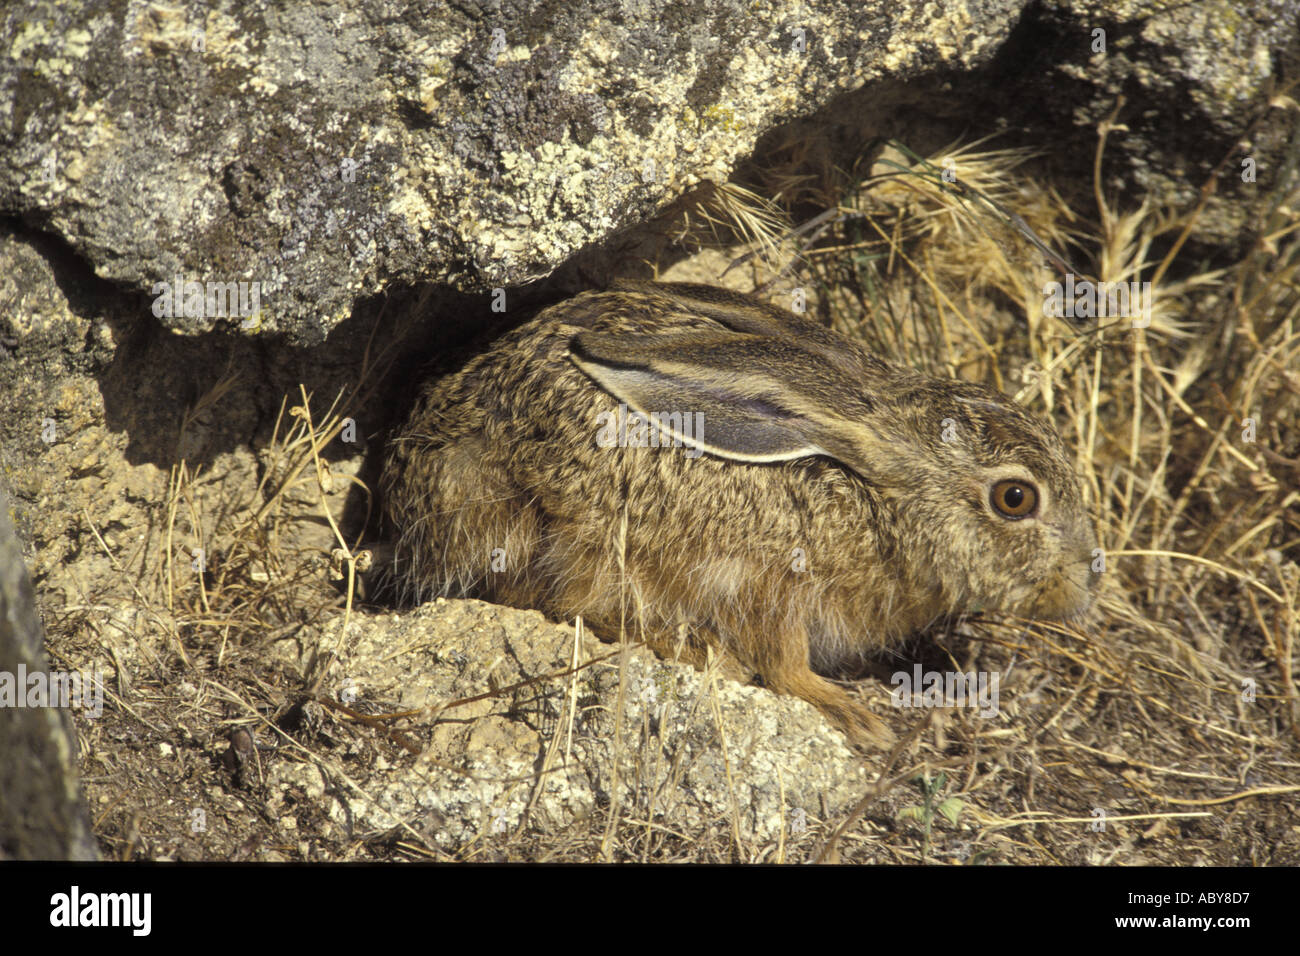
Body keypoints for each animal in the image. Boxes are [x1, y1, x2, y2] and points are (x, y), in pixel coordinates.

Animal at [380, 279, 1099, 749]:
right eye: (1014, 499)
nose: (1084, 583)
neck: (876, 503)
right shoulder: (768, 583)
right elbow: (785, 666)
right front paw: (856, 717)